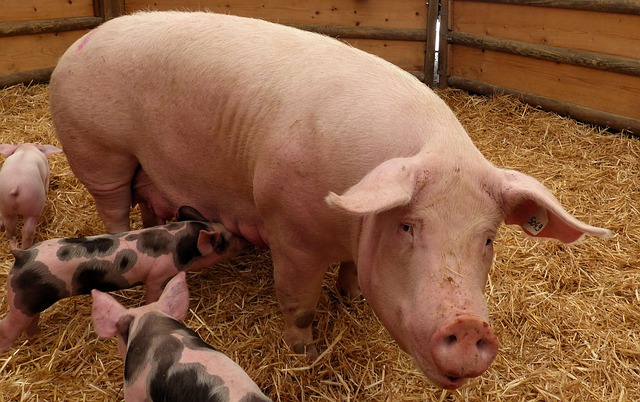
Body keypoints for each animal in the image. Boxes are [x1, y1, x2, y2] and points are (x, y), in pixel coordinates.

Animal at [0, 219, 245, 353]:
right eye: (225, 241)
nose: (244, 241)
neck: (181, 245)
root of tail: (21, 255)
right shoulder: (157, 277)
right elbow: (153, 296)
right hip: (20, 302)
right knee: (8, 328)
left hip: (29, 301)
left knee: (32, 321)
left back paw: (36, 338)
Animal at [49, 11, 612, 389]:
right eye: (408, 226)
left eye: (489, 238)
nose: (469, 326)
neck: (352, 225)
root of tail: (78, 45)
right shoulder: (291, 235)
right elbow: (297, 302)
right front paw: (307, 353)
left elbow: (351, 273)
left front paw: (351, 298)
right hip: (99, 154)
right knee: (113, 211)